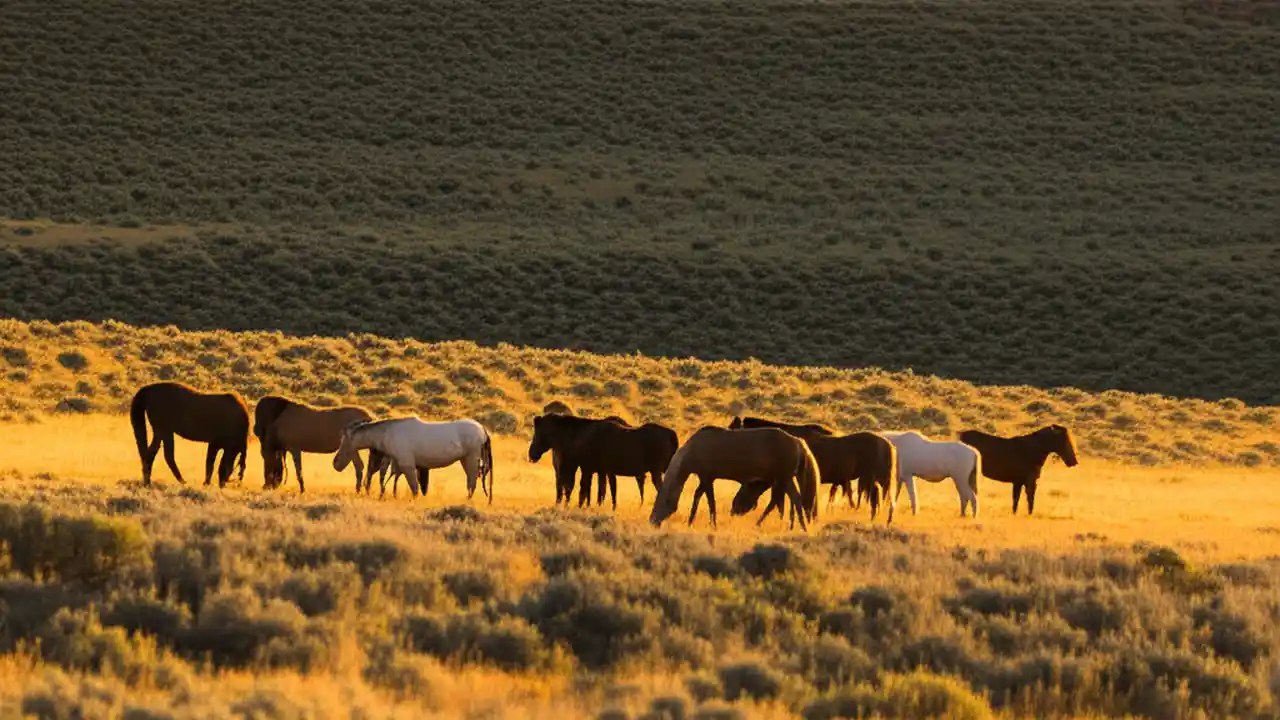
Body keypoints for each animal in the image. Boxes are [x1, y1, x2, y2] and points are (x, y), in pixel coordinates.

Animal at [253, 396, 387, 494]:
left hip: (352, 450)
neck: (278, 419)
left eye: (265, 456)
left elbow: (299, 471)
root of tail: (369, 416)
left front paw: (302, 490)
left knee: (360, 467)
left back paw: (358, 490)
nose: (266, 486)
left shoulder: (294, 449)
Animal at [334, 417, 494, 501]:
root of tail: (482, 429)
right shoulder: (398, 465)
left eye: (344, 440)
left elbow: (414, 487)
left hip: (471, 459)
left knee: (472, 483)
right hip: (465, 460)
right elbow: (394, 482)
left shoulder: (408, 466)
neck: (388, 433)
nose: (335, 463)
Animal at [527, 413, 677, 509]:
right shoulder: (600, 471)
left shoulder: (588, 469)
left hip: (656, 472)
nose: (531, 454)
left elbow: (585, 491)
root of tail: (671, 434)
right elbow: (600, 492)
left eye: (538, 432)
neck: (579, 435)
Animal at [649, 427, 819, 530]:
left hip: (783, 477)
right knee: (791, 499)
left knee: (790, 499)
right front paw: (692, 521)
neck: (692, 451)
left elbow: (709, 501)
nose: (652, 521)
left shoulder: (707, 477)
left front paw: (712, 525)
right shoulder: (706, 478)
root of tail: (798, 442)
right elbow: (699, 496)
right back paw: (794, 526)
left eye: (661, 502)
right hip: (784, 478)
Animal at [731, 431, 897, 523]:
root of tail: (889, 446)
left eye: (747, 485)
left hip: (877, 478)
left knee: (883, 500)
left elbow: (784, 503)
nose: (734, 508)